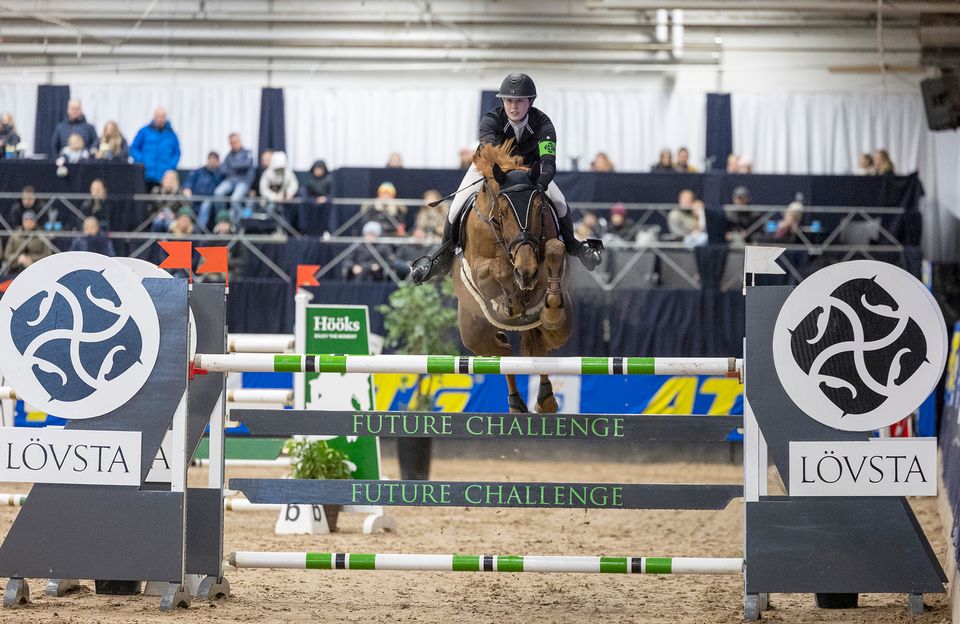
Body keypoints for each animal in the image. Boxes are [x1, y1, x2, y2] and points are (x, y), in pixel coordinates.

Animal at [452, 141, 572, 414]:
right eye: (503, 212)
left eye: (539, 209)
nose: (526, 271)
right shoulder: (480, 269)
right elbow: (499, 269)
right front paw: (512, 303)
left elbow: (554, 250)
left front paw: (542, 301)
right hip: (475, 335)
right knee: (503, 354)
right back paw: (516, 403)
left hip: (561, 329)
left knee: (539, 349)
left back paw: (545, 399)